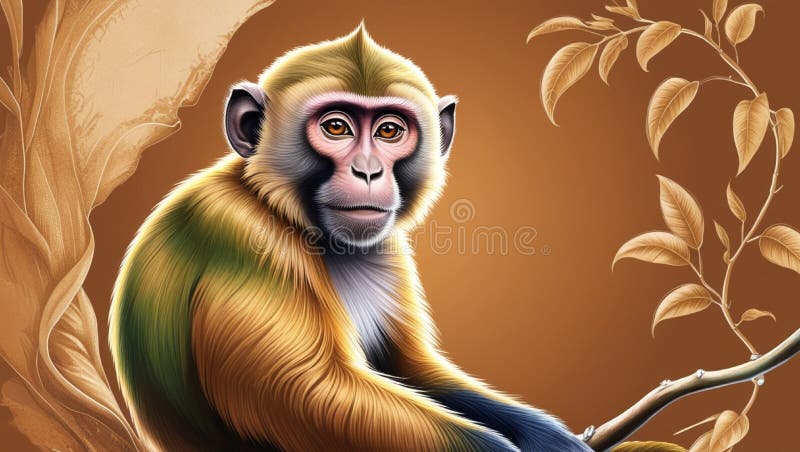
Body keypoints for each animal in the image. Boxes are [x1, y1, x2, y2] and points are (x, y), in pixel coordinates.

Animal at [109, 25, 679, 452]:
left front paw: (548, 438)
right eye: (336, 127)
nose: (367, 171)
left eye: (388, 131)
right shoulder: (239, 235)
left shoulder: (387, 250)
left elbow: (410, 369)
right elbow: (301, 393)